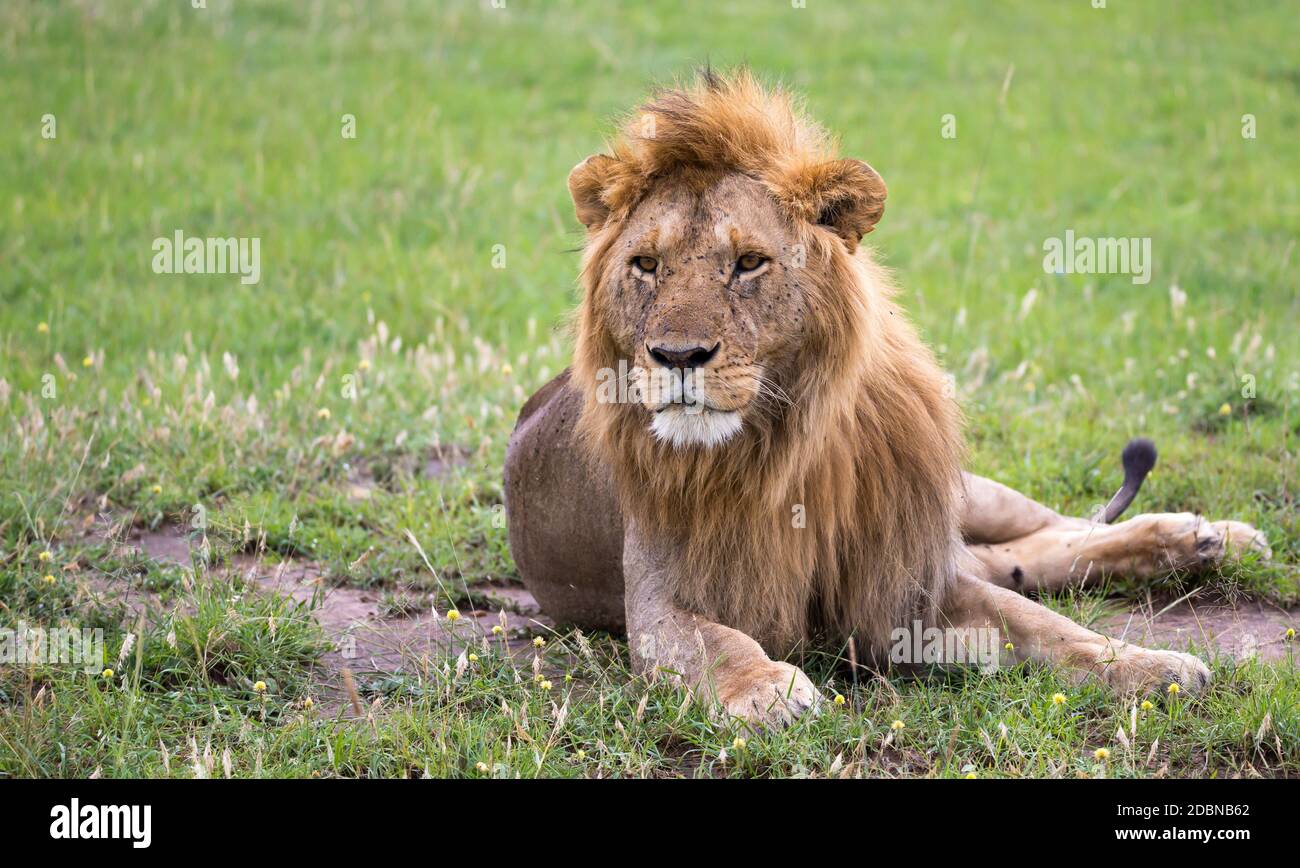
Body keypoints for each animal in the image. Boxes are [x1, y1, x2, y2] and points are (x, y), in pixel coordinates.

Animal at [503, 70, 1271, 727]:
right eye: (646, 265)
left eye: (748, 262)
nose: (678, 357)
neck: (780, 440)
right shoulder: (657, 600)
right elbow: (714, 643)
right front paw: (766, 689)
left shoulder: (906, 577)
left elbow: (1050, 627)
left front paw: (1153, 666)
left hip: (962, 492)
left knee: (1058, 530)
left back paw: (1207, 536)